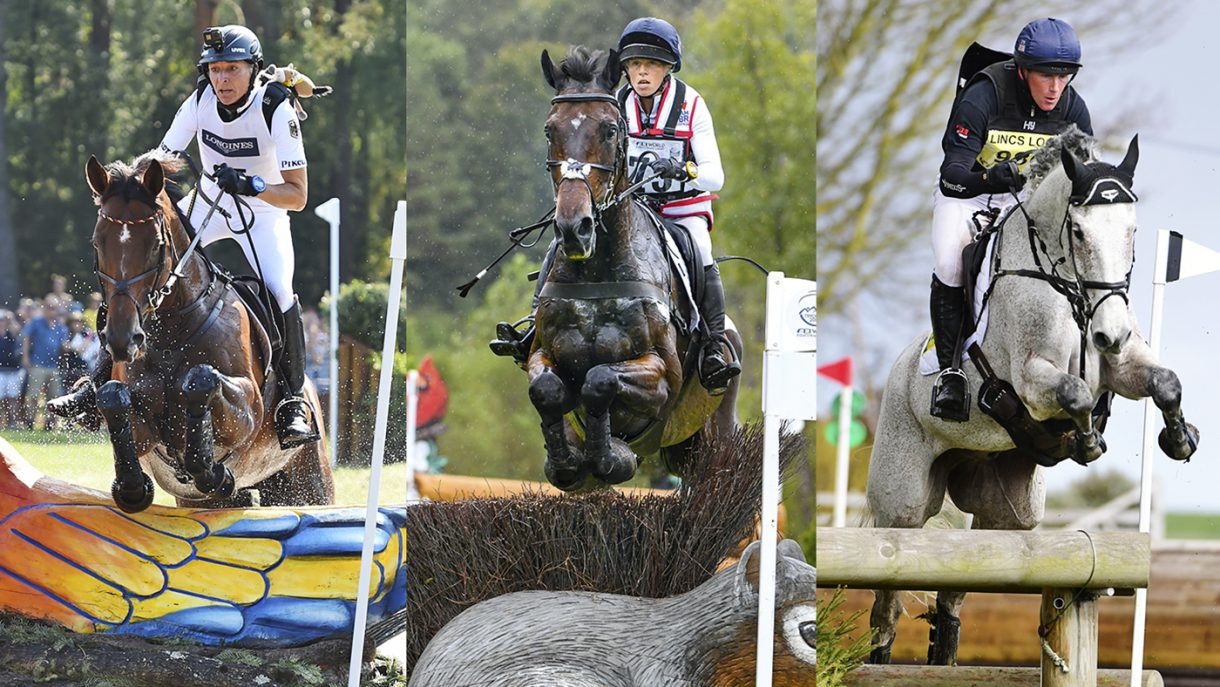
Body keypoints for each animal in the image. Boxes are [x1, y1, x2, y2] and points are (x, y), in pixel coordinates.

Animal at [79, 152, 334, 512]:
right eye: (97, 242)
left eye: (156, 244)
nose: (121, 339)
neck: (171, 334)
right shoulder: (143, 428)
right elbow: (113, 397)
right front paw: (132, 487)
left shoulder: (248, 411)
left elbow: (201, 380)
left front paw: (212, 471)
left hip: (310, 482)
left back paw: (294, 419)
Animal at [525, 46, 742, 491]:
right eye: (549, 131)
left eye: (610, 130)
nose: (574, 229)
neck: (597, 274)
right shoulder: (543, 355)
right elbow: (547, 389)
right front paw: (569, 463)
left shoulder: (661, 376)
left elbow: (600, 380)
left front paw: (610, 456)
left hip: (715, 437)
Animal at [865, 129, 1198, 664]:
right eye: (1079, 232)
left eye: (1133, 230)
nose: (1110, 334)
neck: (1069, 286)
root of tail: (897, 370)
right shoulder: (1030, 382)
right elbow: (1076, 393)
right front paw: (1086, 442)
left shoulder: (1123, 366)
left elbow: (1163, 381)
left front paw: (1181, 439)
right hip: (904, 502)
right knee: (887, 597)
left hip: (1007, 512)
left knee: (958, 584)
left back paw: (945, 652)